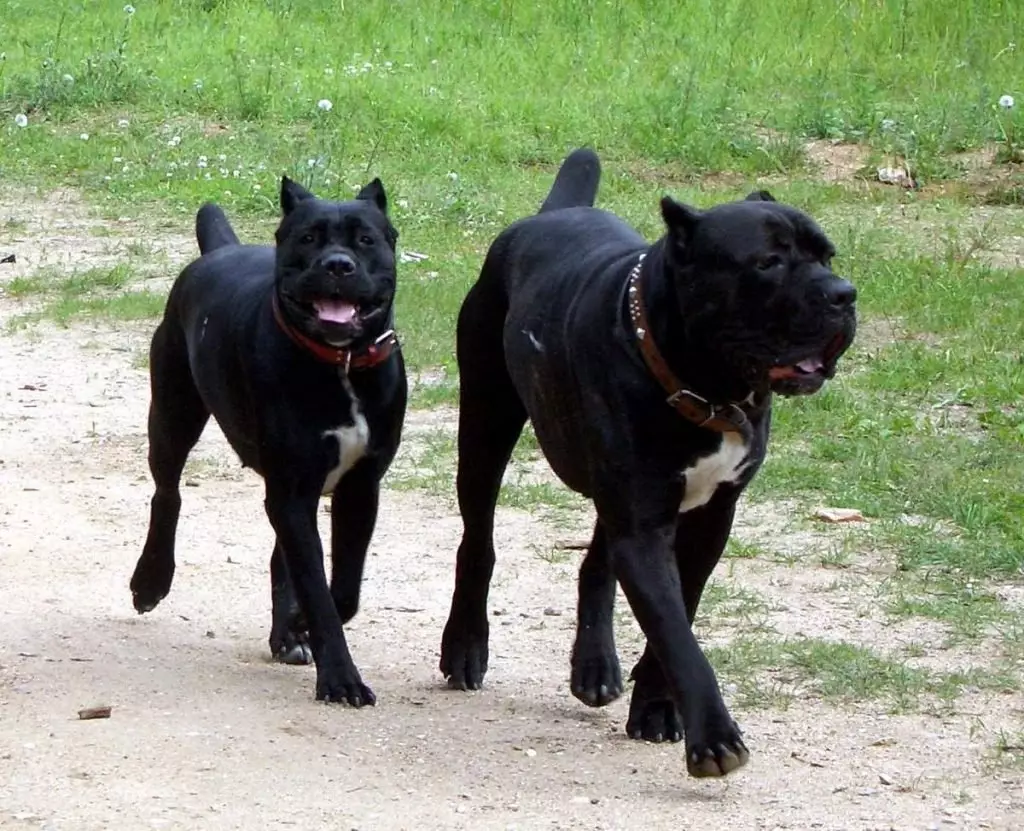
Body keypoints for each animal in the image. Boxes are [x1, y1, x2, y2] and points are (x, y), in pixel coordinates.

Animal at [132, 175, 407, 708]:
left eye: (366, 239)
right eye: (308, 238)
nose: (337, 264)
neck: (339, 365)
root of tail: (221, 251)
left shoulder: (359, 488)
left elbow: (342, 589)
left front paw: (299, 626)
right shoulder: (294, 489)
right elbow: (319, 591)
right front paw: (340, 679)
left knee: (282, 555)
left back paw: (286, 635)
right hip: (173, 415)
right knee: (167, 495)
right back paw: (151, 578)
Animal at [440, 149, 856, 777]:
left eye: (827, 255)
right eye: (768, 262)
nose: (843, 293)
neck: (706, 384)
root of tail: (553, 213)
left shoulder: (706, 518)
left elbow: (680, 612)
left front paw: (658, 706)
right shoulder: (643, 524)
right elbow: (676, 632)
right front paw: (714, 738)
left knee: (594, 563)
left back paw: (594, 666)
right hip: (487, 424)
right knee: (478, 542)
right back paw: (464, 645)